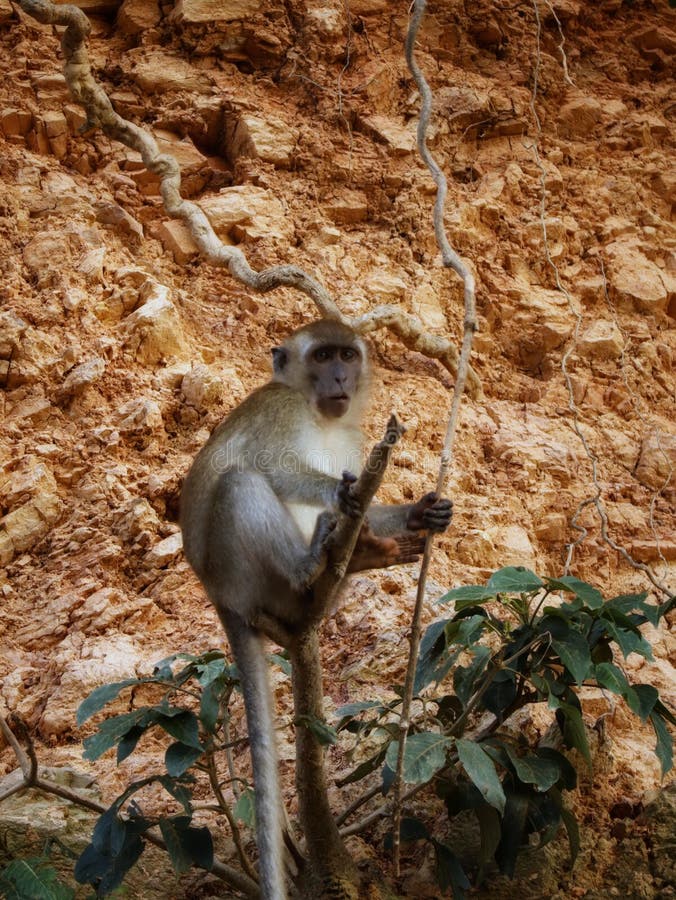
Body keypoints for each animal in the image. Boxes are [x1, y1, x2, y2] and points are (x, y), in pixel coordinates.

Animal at [180, 320, 453, 900]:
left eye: (347, 355)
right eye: (323, 356)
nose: (340, 377)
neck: (316, 413)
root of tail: (218, 598)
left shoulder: (352, 437)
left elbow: (364, 494)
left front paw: (418, 513)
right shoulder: (279, 410)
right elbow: (275, 467)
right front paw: (337, 495)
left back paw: (356, 560)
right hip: (239, 573)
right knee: (242, 482)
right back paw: (309, 566)